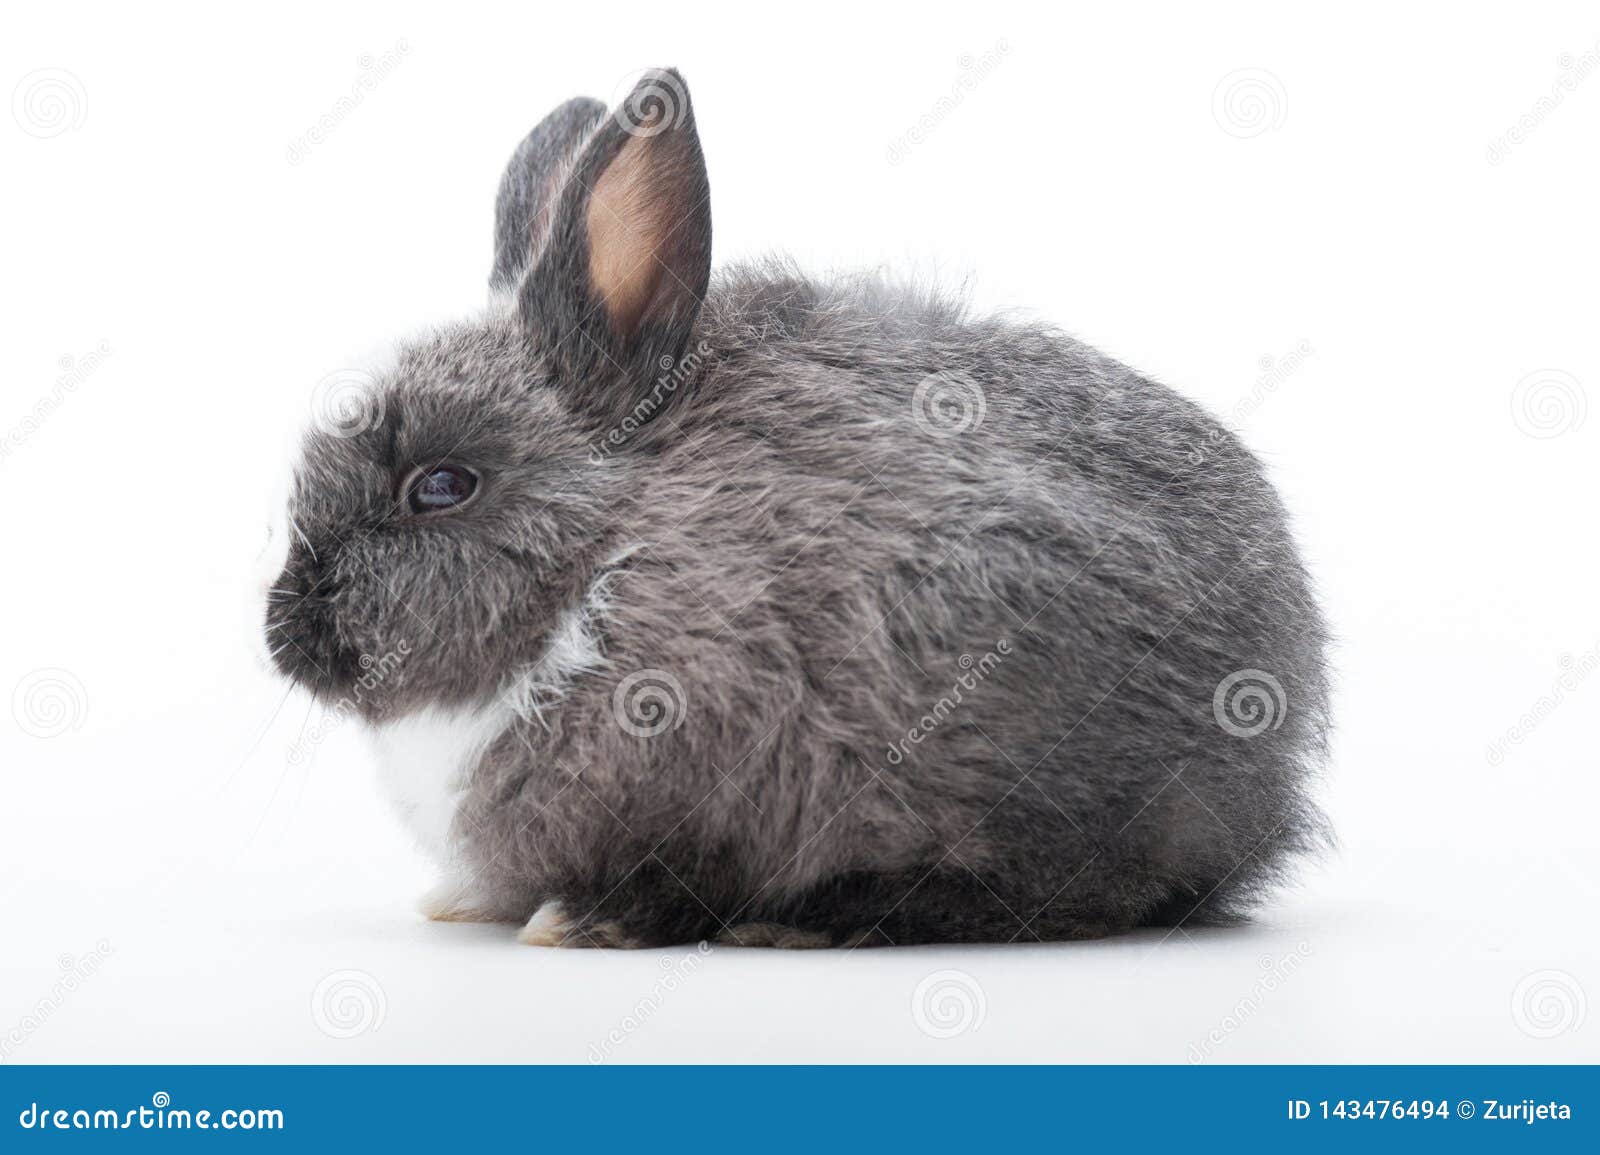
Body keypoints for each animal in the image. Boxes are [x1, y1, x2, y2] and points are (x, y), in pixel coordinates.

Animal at [264, 67, 1330, 948]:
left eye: (441, 486)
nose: (285, 635)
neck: (603, 560)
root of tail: (1271, 776)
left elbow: (674, 874)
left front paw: (584, 921)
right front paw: (462, 901)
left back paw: (812, 920)